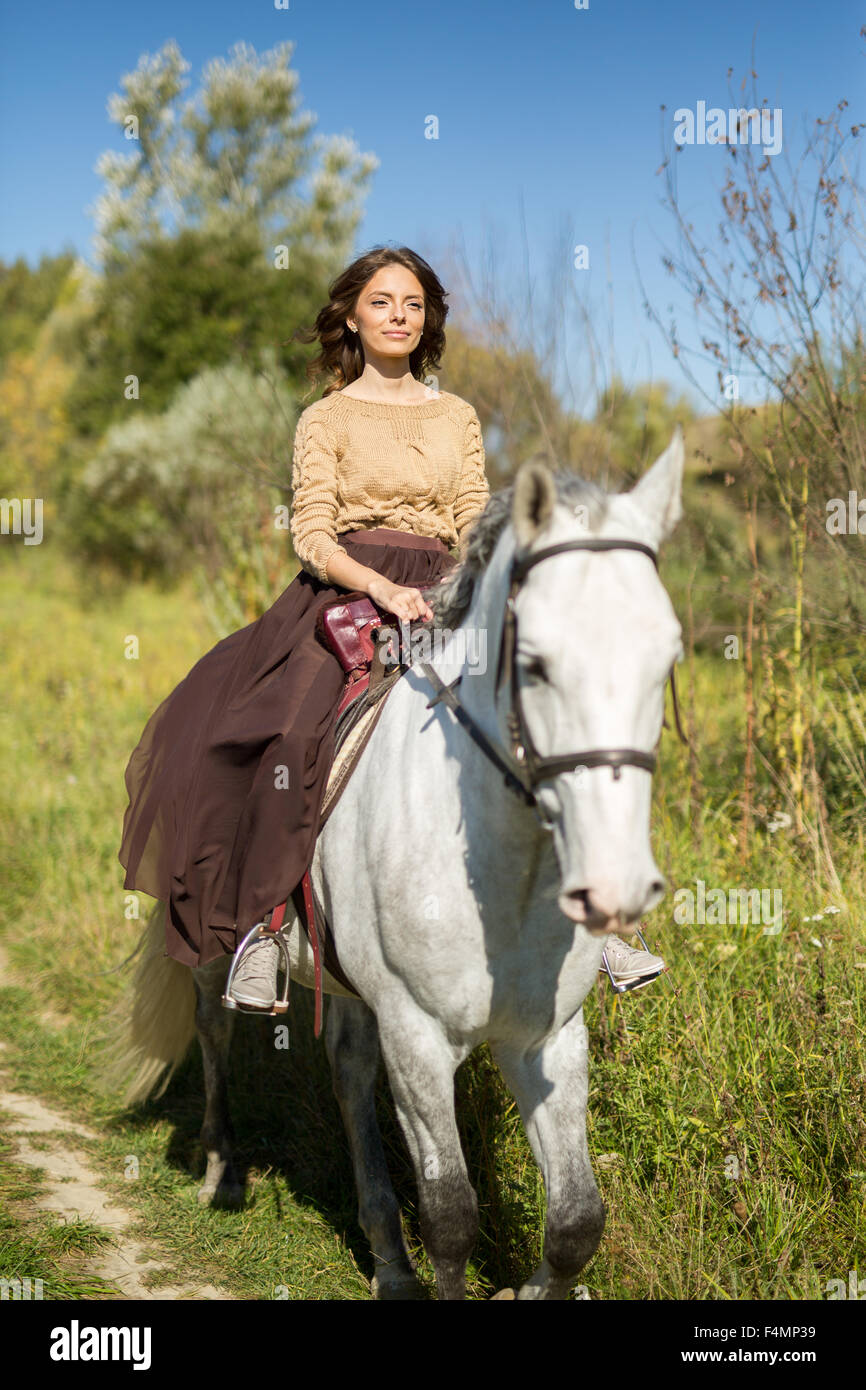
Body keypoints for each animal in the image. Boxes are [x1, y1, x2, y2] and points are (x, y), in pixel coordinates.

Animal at [111, 431, 684, 1300]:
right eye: (537, 663)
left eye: (667, 656)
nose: (615, 887)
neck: (500, 875)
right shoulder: (418, 1036)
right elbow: (450, 1215)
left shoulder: (548, 1036)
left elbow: (576, 1221)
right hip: (208, 931)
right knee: (213, 1024)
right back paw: (224, 1170)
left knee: (348, 1072)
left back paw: (385, 1253)